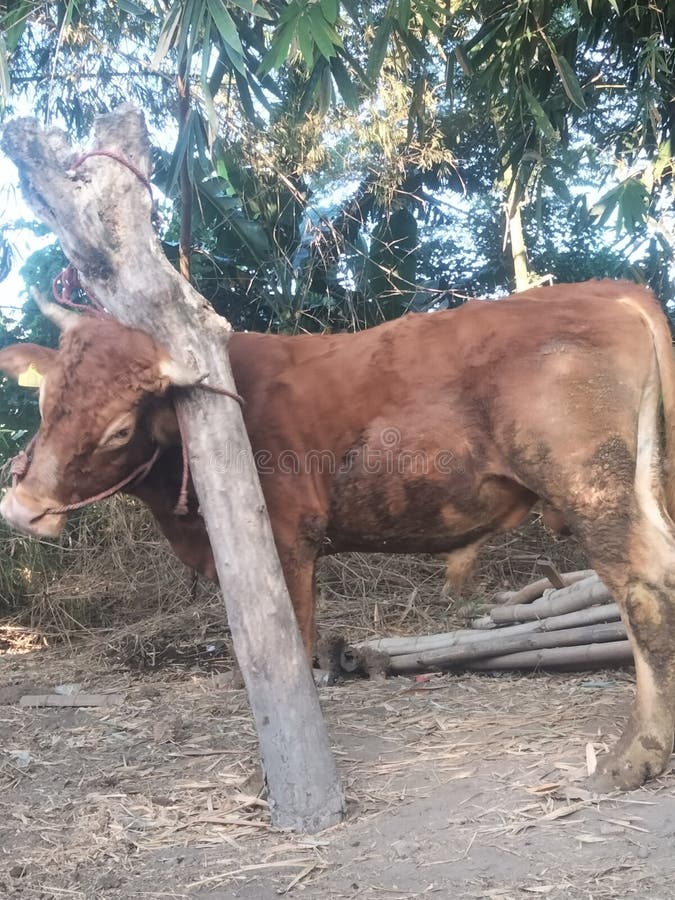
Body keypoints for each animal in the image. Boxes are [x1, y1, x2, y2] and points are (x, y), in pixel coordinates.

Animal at [1, 279, 675, 792]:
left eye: (118, 430)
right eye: (47, 402)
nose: (21, 509)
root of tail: (607, 288)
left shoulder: (287, 541)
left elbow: (292, 649)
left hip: (591, 486)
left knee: (643, 588)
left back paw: (634, 757)